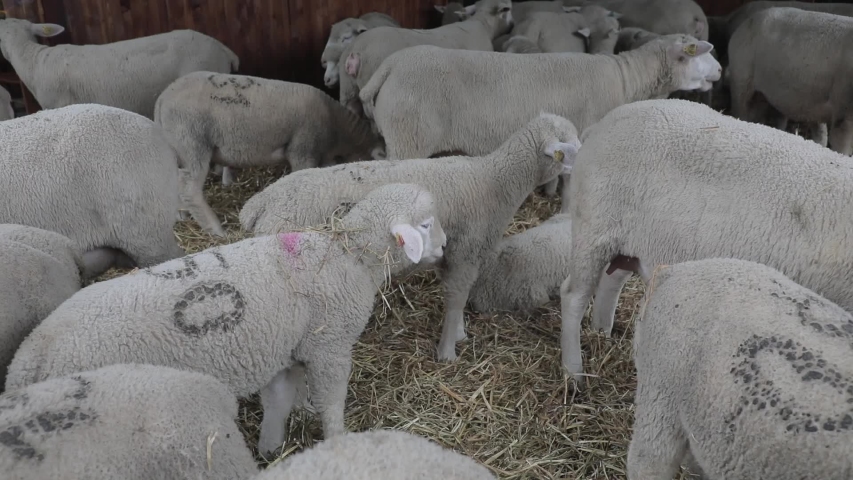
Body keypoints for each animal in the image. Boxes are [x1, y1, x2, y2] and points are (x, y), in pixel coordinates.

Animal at [154, 71, 386, 237]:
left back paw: (181, 214)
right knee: (190, 189)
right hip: (192, 143)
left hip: (178, 148)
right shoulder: (303, 149)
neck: (337, 129)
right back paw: (217, 230)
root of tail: (162, 98)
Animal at [239, 113, 579, 362]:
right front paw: (448, 352)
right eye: (571, 148)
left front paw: (458, 333)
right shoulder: (467, 252)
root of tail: (259, 204)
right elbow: (457, 297)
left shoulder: (452, 253)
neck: (494, 181)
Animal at [559, 98, 853, 386]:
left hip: (628, 239)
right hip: (593, 226)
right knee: (574, 295)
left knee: (612, 280)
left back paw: (602, 334)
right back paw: (574, 374)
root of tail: (602, 124)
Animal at [728, 7, 853, 155]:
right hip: (740, 79)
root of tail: (744, 25)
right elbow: (842, 145)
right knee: (740, 110)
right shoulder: (844, 109)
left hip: (774, 96)